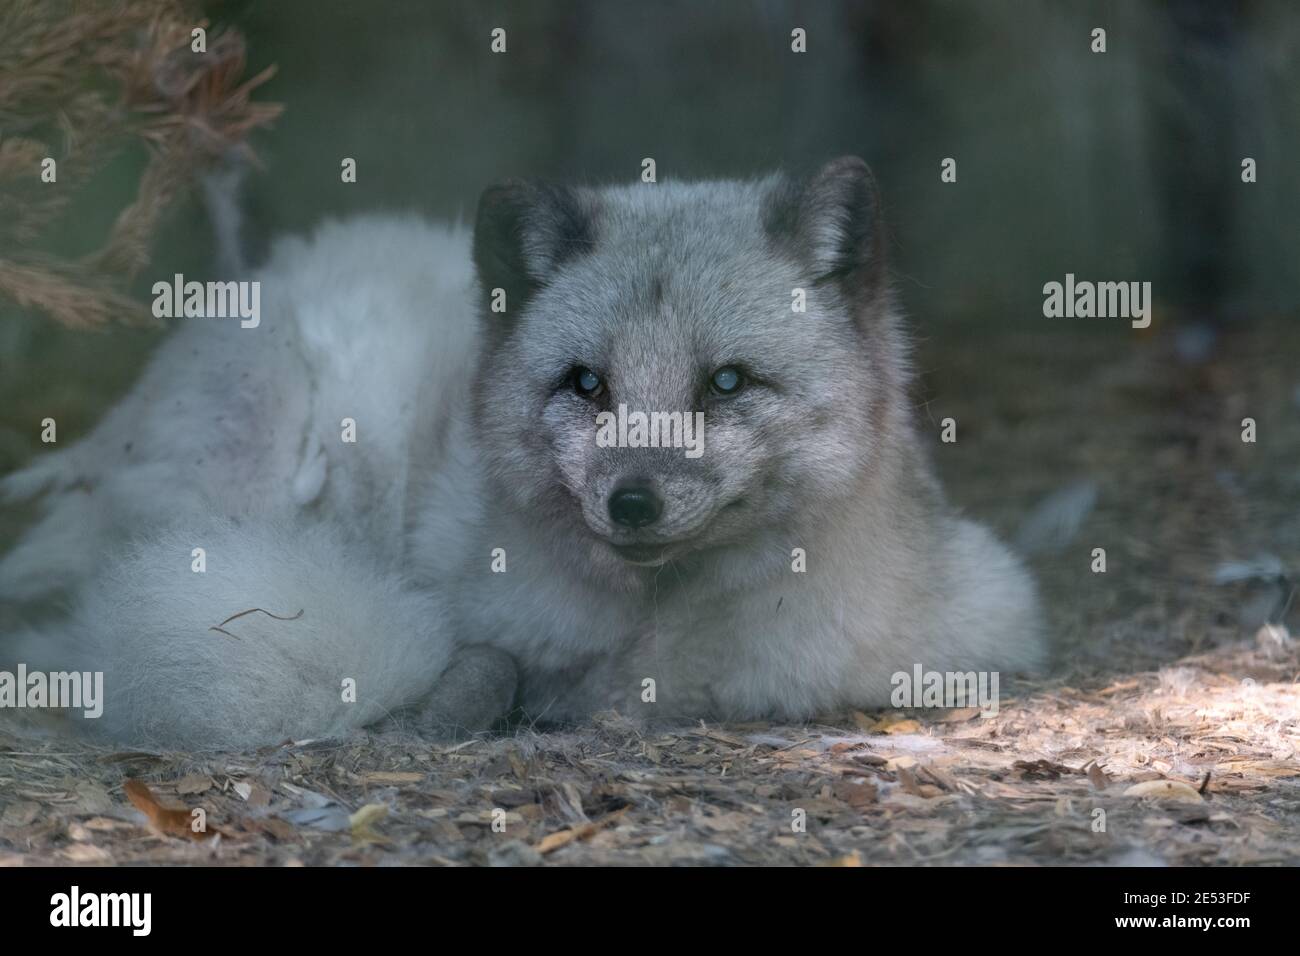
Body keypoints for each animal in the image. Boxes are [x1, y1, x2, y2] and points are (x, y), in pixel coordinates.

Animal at [0, 157, 1044, 749]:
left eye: (726, 382)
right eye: (586, 384)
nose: (632, 502)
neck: (659, 638)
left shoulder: (978, 628)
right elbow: (484, 658)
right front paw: (457, 705)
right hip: (277, 452)